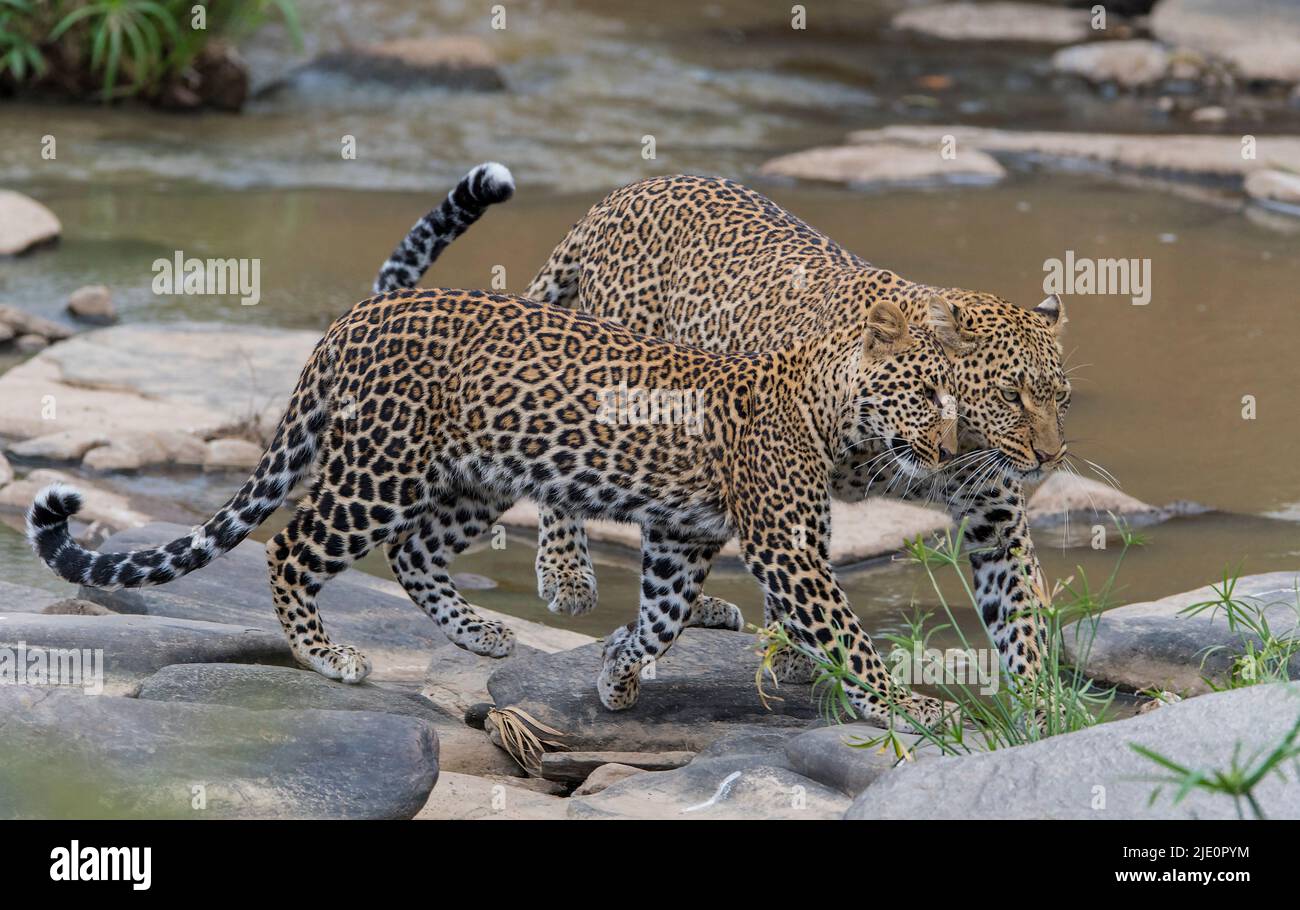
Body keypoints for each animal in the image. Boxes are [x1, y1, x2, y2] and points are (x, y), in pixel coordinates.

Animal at [27, 284, 967, 730]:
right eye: (924, 394)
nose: (951, 451)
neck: (833, 412)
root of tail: (350, 320)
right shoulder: (787, 550)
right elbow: (847, 637)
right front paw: (917, 710)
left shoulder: (682, 535)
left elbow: (665, 616)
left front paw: (617, 671)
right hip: (380, 472)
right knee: (293, 545)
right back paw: (328, 657)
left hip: (476, 479)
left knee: (412, 553)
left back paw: (481, 634)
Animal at [380, 173, 1069, 687]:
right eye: (1010, 394)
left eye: (1060, 399)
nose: (1050, 457)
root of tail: (621, 195)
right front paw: (796, 650)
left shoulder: (994, 514)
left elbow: (1021, 612)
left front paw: (1039, 711)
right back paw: (568, 572)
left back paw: (700, 605)